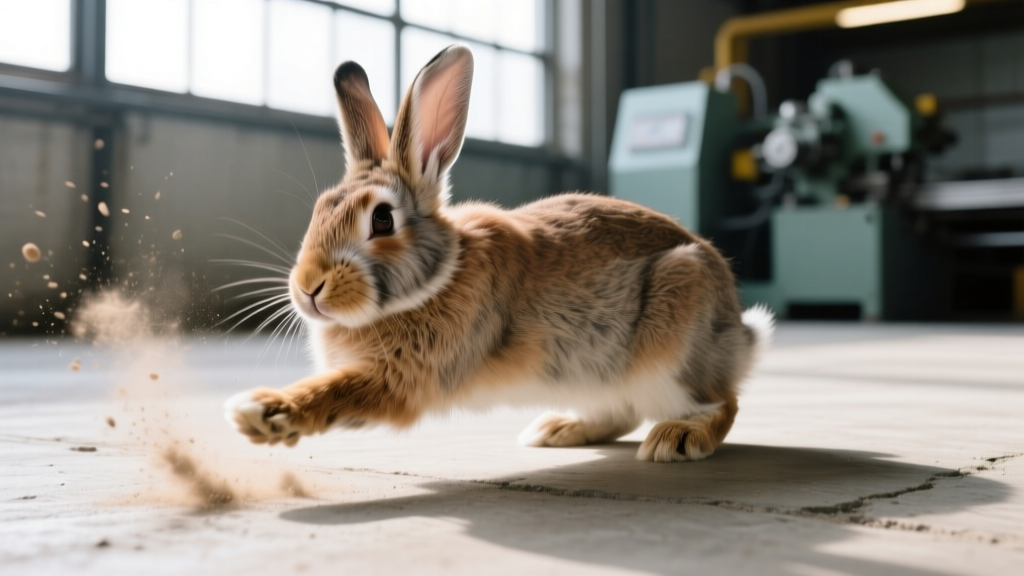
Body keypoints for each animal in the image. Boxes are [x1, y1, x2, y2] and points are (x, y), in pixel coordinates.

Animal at [224, 44, 774, 463]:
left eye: (382, 220)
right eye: (319, 209)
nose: (307, 288)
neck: (436, 279)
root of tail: (739, 332)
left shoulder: (403, 378)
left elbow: (338, 390)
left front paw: (264, 412)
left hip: (672, 342)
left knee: (721, 403)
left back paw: (678, 439)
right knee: (621, 412)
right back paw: (557, 430)